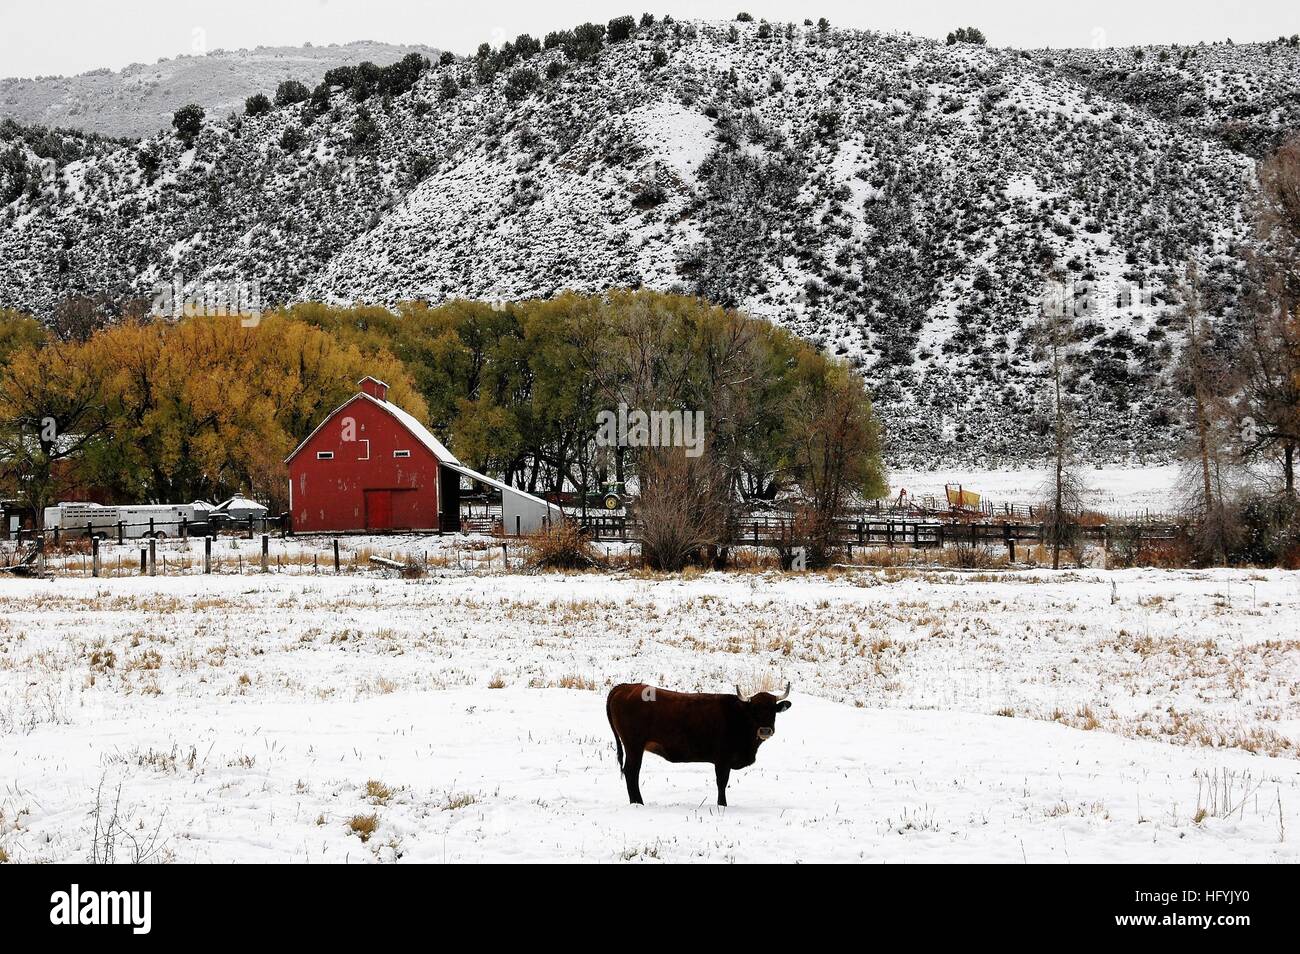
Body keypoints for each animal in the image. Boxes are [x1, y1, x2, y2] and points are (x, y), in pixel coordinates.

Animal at [605, 682, 793, 806]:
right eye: (754, 709)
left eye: (773, 710)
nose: (765, 730)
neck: (739, 717)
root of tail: (626, 686)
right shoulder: (722, 760)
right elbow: (722, 782)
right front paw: (722, 805)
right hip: (634, 746)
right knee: (631, 772)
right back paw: (638, 803)